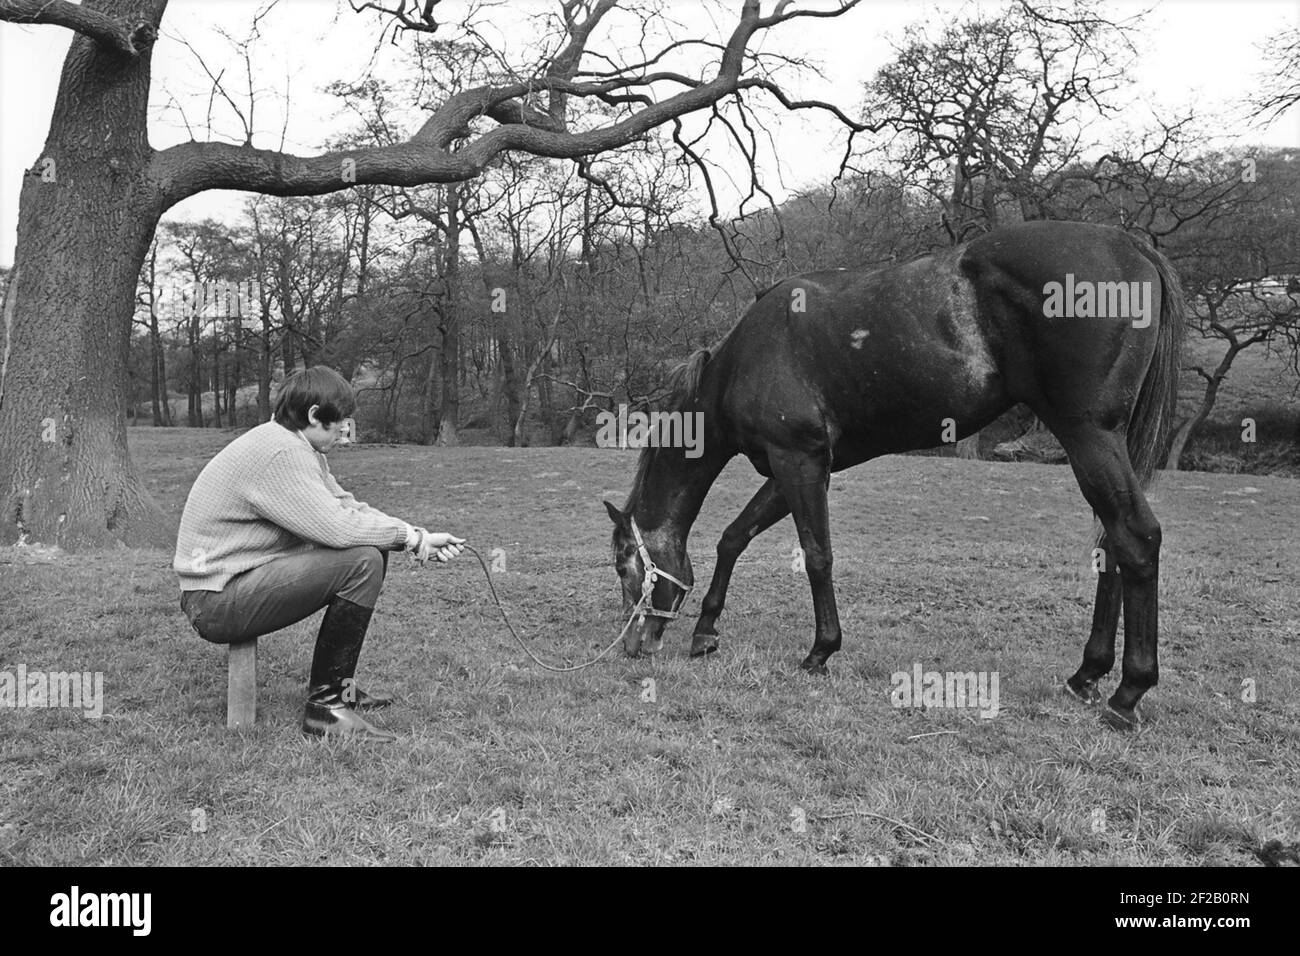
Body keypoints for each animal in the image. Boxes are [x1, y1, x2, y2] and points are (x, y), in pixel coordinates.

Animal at [604, 220, 1185, 729]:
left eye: (625, 566)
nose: (635, 645)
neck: (745, 359)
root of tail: (1132, 246)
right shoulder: (794, 467)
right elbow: (733, 538)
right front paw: (706, 632)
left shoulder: (800, 462)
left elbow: (816, 555)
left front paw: (820, 651)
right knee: (1112, 544)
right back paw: (1087, 674)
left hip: (1088, 434)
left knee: (1135, 537)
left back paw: (1128, 693)